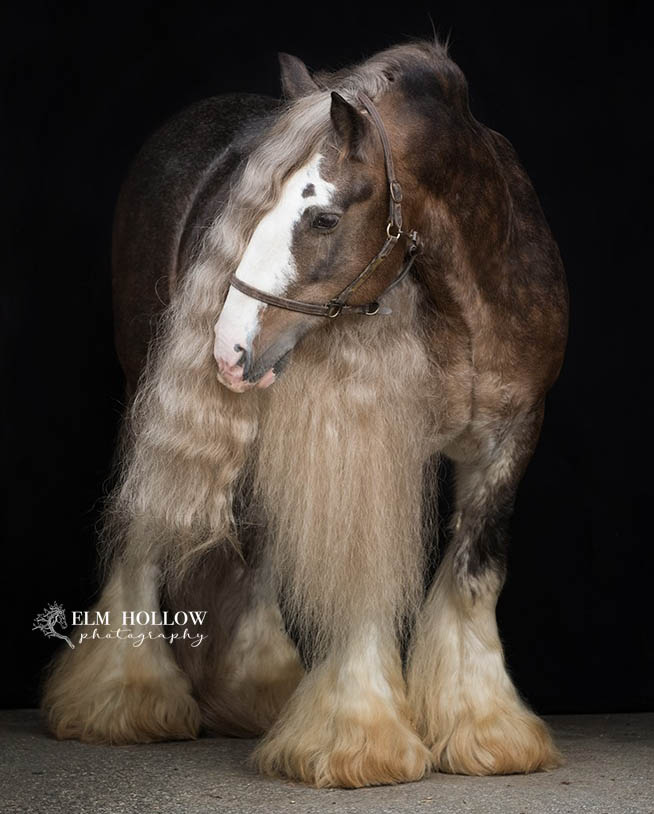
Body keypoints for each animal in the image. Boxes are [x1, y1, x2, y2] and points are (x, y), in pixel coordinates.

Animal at [42, 39, 568, 788]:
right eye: (253, 209)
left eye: (323, 217)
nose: (227, 349)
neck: (471, 302)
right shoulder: (374, 439)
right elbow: (363, 576)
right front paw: (358, 742)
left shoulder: (510, 442)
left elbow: (474, 575)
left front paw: (484, 731)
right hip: (146, 382)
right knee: (143, 529)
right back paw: (122, 700)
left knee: (261, 541)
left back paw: (258, 688)